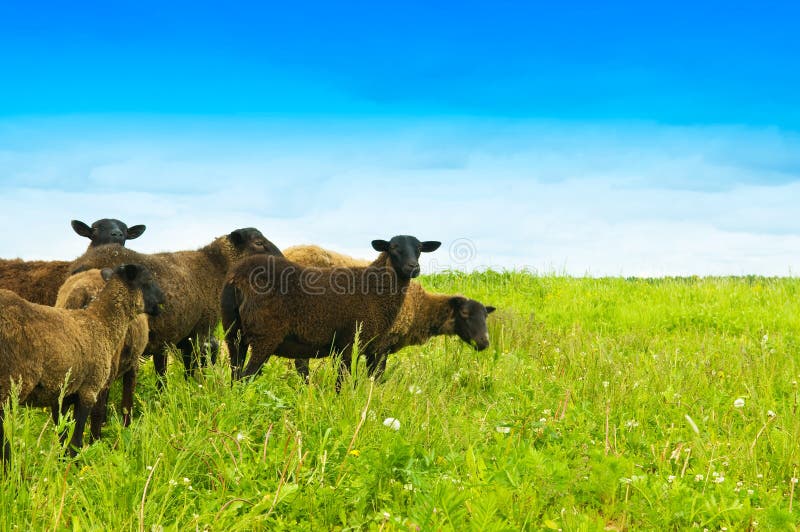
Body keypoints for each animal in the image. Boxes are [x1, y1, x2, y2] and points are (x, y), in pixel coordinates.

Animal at [69, 228, 282, 386]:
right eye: (258, 242)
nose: (282, 260)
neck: (215, 265)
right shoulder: (200, 330)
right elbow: (197, 362)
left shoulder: (184, 336)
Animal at [221, 235, 441, 388]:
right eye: (394, 247)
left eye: (419, 248)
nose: (414, 267)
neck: (374, 288)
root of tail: (237, 279)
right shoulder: (352, 343)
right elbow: (345, 382)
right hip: (265, 336)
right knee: (246, 377)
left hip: (234, 334)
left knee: (235, 374)